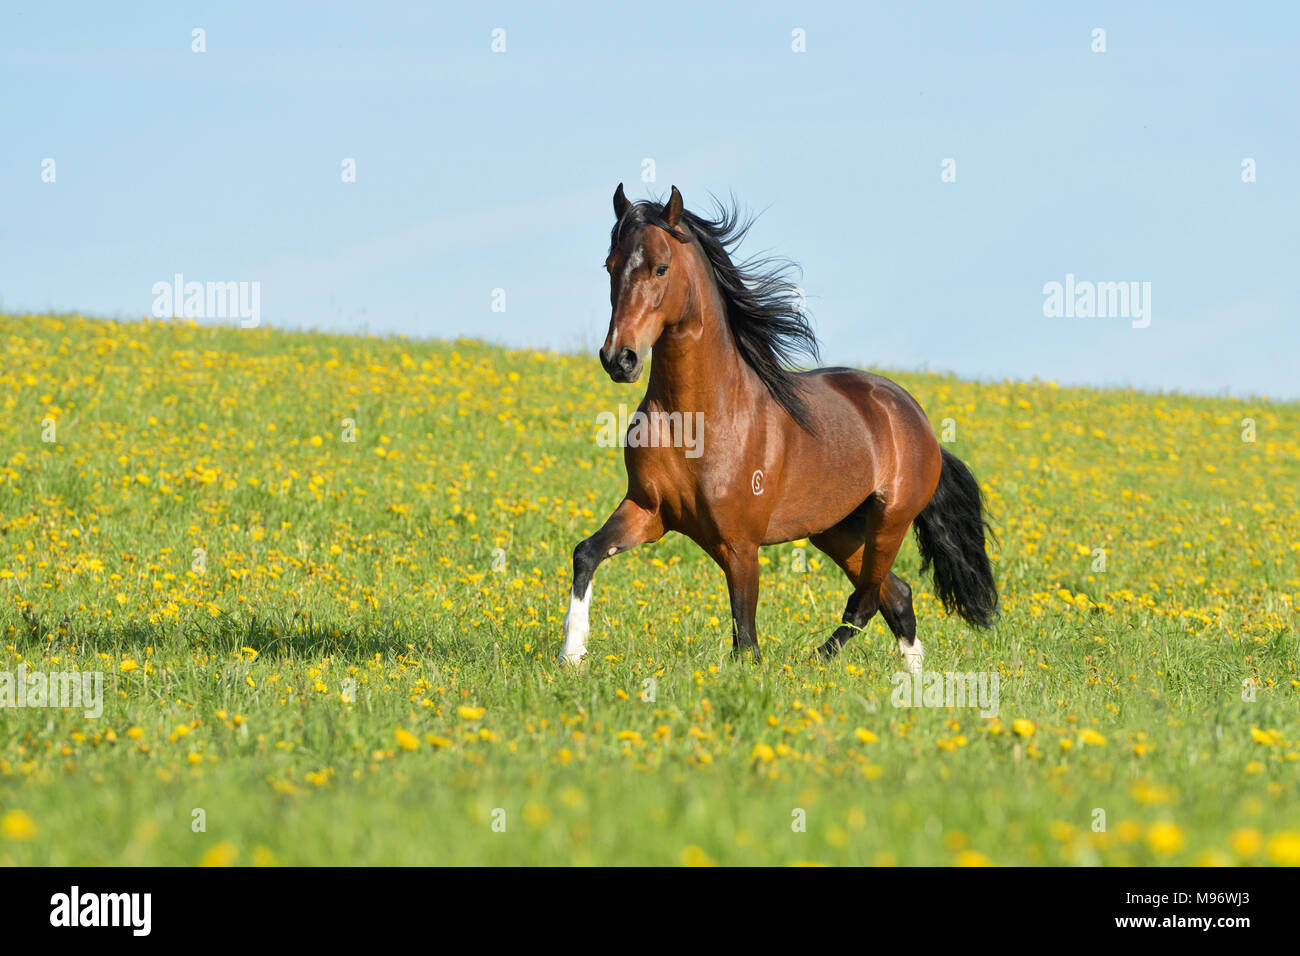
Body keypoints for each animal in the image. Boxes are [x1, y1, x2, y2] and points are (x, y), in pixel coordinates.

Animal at [560, 184, 998, 671]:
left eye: (660, 267)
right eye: (610, 265)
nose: (620, 358)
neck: (695, 422)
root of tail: (916, 419)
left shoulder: (739, 545)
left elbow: (745, 641)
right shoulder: (648, 510)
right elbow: (586, 553)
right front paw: (572, 654)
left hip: (890, 520)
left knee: (866, 602)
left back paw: (814, 663)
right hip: (835, 529)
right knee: (897, 596)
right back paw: (913, 678)